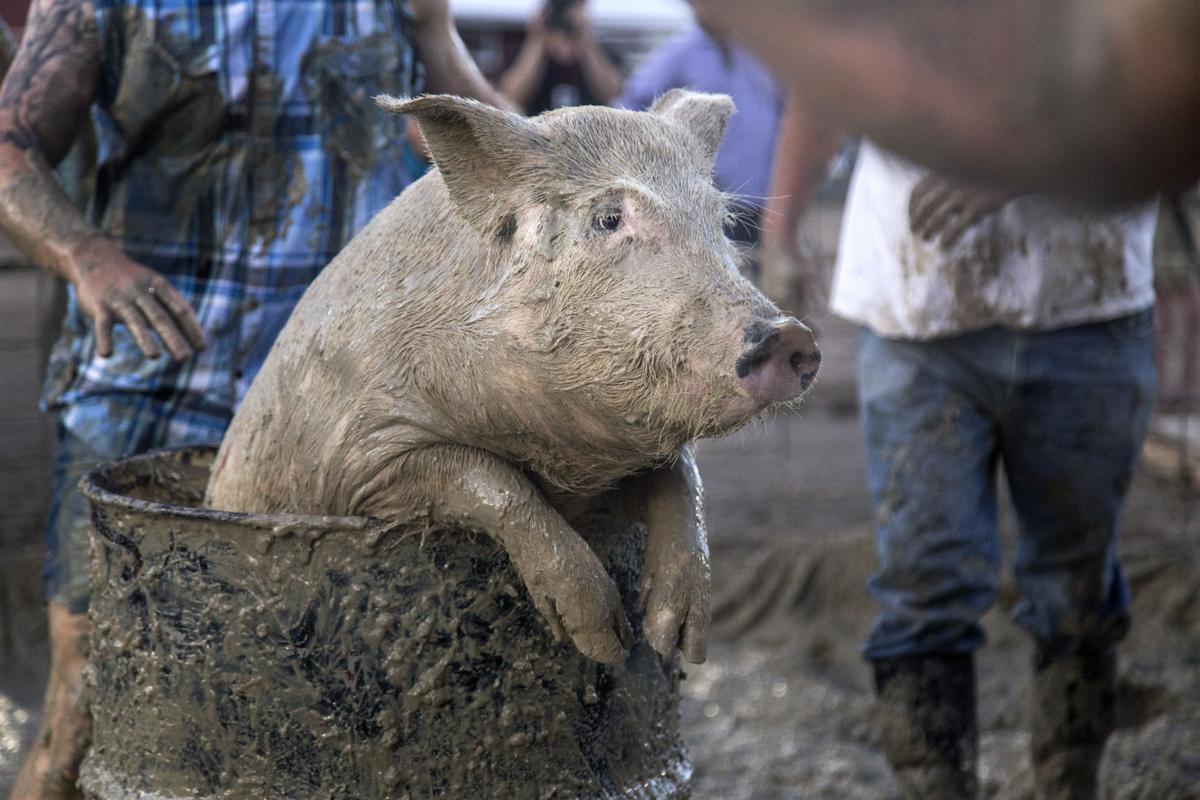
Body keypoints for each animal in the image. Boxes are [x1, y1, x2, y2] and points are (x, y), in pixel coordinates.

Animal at [205, 90, 820, 666]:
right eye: (608, 218)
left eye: (719, 220)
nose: (788, 334)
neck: (564, 452)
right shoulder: (363, 454)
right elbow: (491, 479)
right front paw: (605, 643)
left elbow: (679, 479)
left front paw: (672, 642)